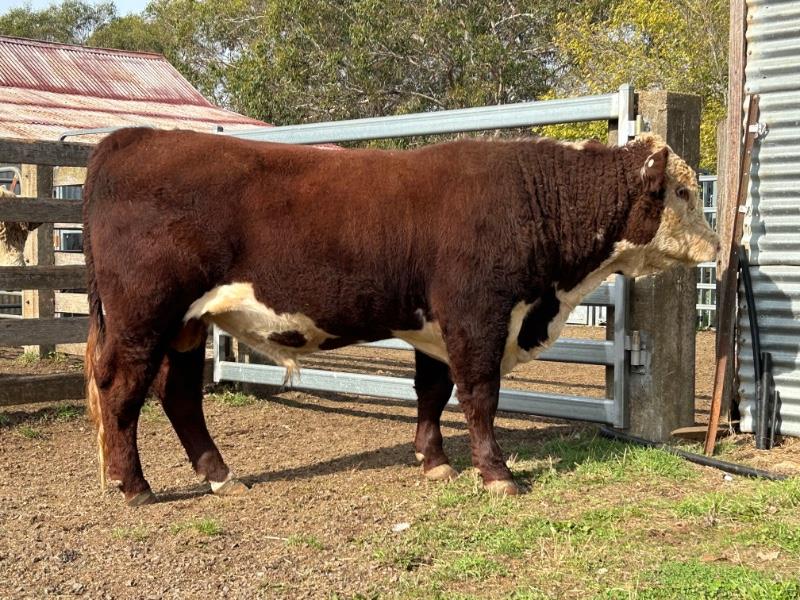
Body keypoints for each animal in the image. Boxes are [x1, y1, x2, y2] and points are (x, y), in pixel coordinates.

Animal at [83, 128, 719, 506]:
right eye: (684, 191)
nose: (716, 246)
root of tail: (131, 138)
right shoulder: (477, 319)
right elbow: (479, 397)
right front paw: (497, 475)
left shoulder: (432, 327)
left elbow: (433, 392)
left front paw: (435, 462)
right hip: (143, 315)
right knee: (122, 388)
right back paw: (133, 485)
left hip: (185, 325)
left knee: (178, 393)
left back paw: (219, 474)